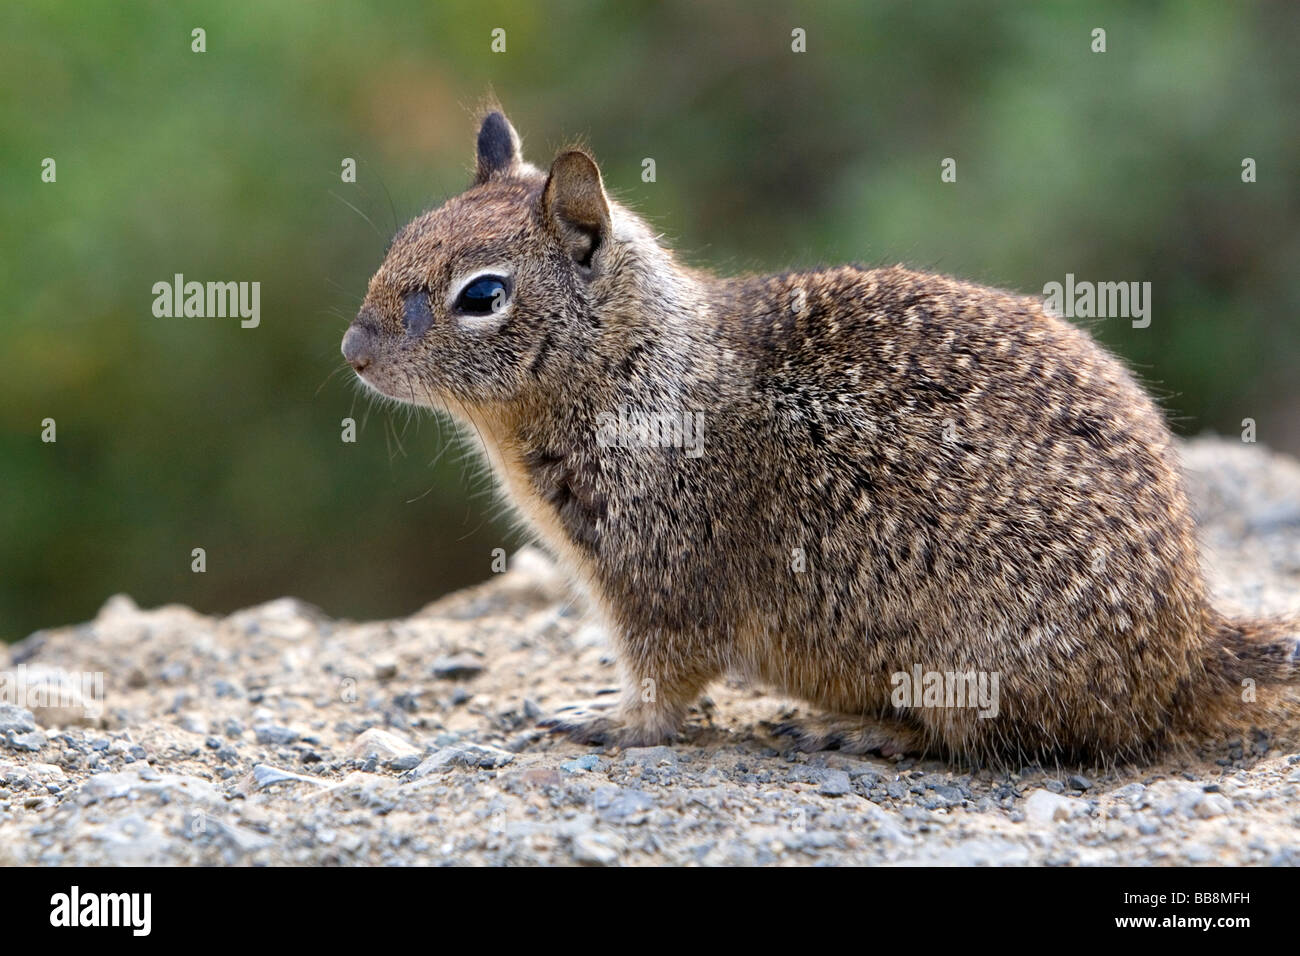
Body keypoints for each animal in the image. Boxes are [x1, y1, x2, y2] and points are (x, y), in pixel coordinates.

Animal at [342, 108, 1300, 765]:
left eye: (480, 295)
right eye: (400, 240)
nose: (353, 351)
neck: (637, 362)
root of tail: (1189, 653)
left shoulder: (663, 575)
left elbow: (664, 677)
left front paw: (608, 721)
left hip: (977, 669)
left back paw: (881, 735)